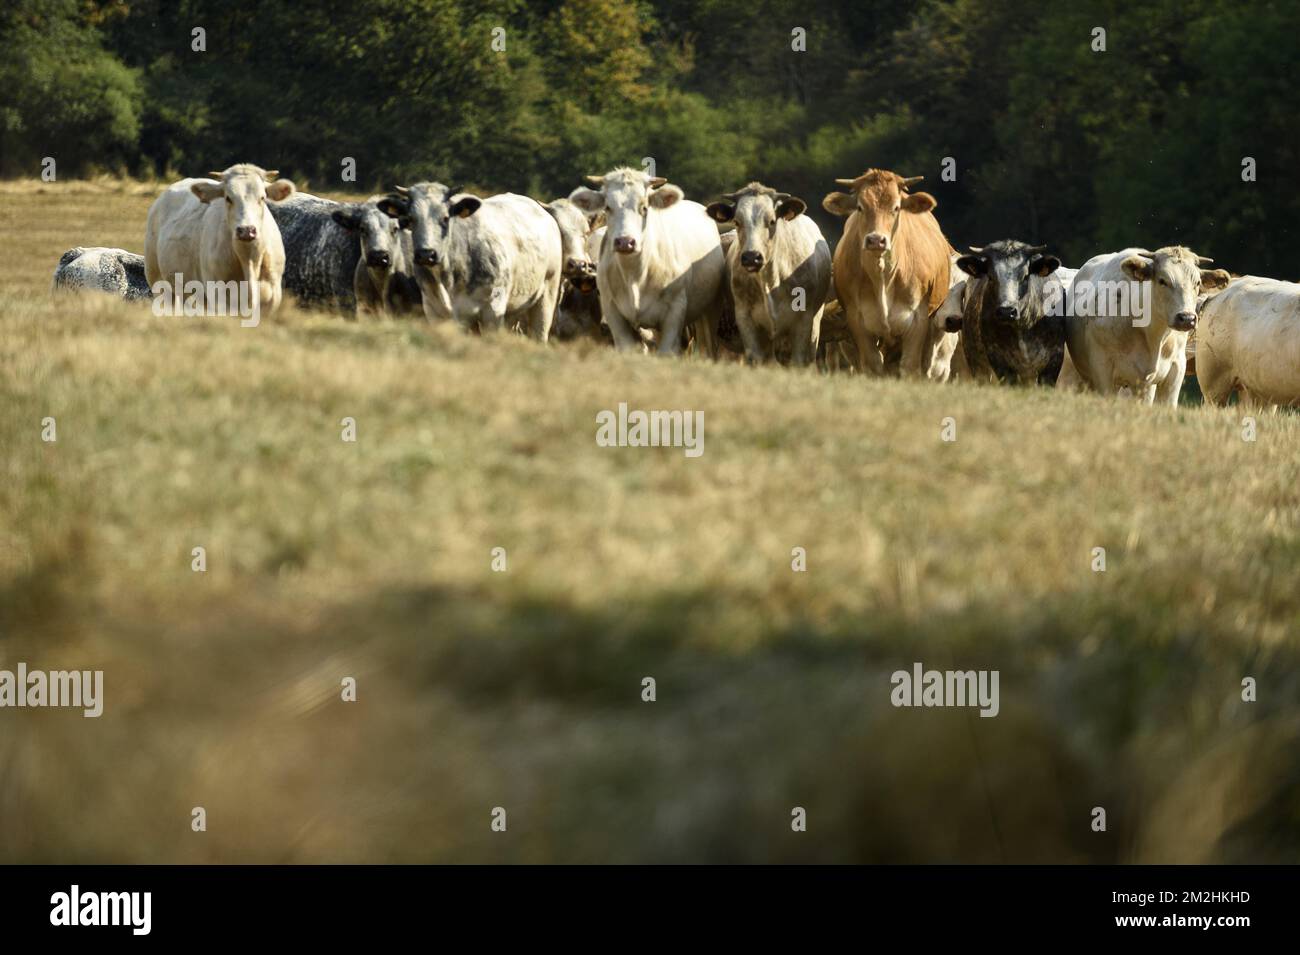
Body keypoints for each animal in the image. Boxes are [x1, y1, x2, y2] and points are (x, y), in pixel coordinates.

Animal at [145, 164, 296, 316]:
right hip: (158, 280)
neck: (248, 261)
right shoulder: (218, 294)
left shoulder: (272, 296)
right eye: (228, 198)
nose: (246, 230)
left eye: (262, 197)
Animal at [377, 184, 562, 340]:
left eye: (445, 218)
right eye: (411, 219)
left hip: (547, 295)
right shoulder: (435, 312)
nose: (426, 254)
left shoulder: (492, 311)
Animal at [568, 167, 726, 357]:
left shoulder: (674, 314)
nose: (625, 242)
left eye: (644, 207)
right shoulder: (614, 314)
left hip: (709, 313)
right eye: (608, 207)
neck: (636, 275)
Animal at [705, 182, 831, 366]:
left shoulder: (803, 322)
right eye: (737, 221)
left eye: (772, 221)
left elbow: (798, 361)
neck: (771, 280)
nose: (752, 257)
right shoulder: (746, 320)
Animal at [821, 169, 954, 376]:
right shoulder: (857, 322)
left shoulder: (918, 322)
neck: (883, 277)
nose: (876, 240)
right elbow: (872, 365)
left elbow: (909, 366)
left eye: (896, 208)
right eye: (860, 207)